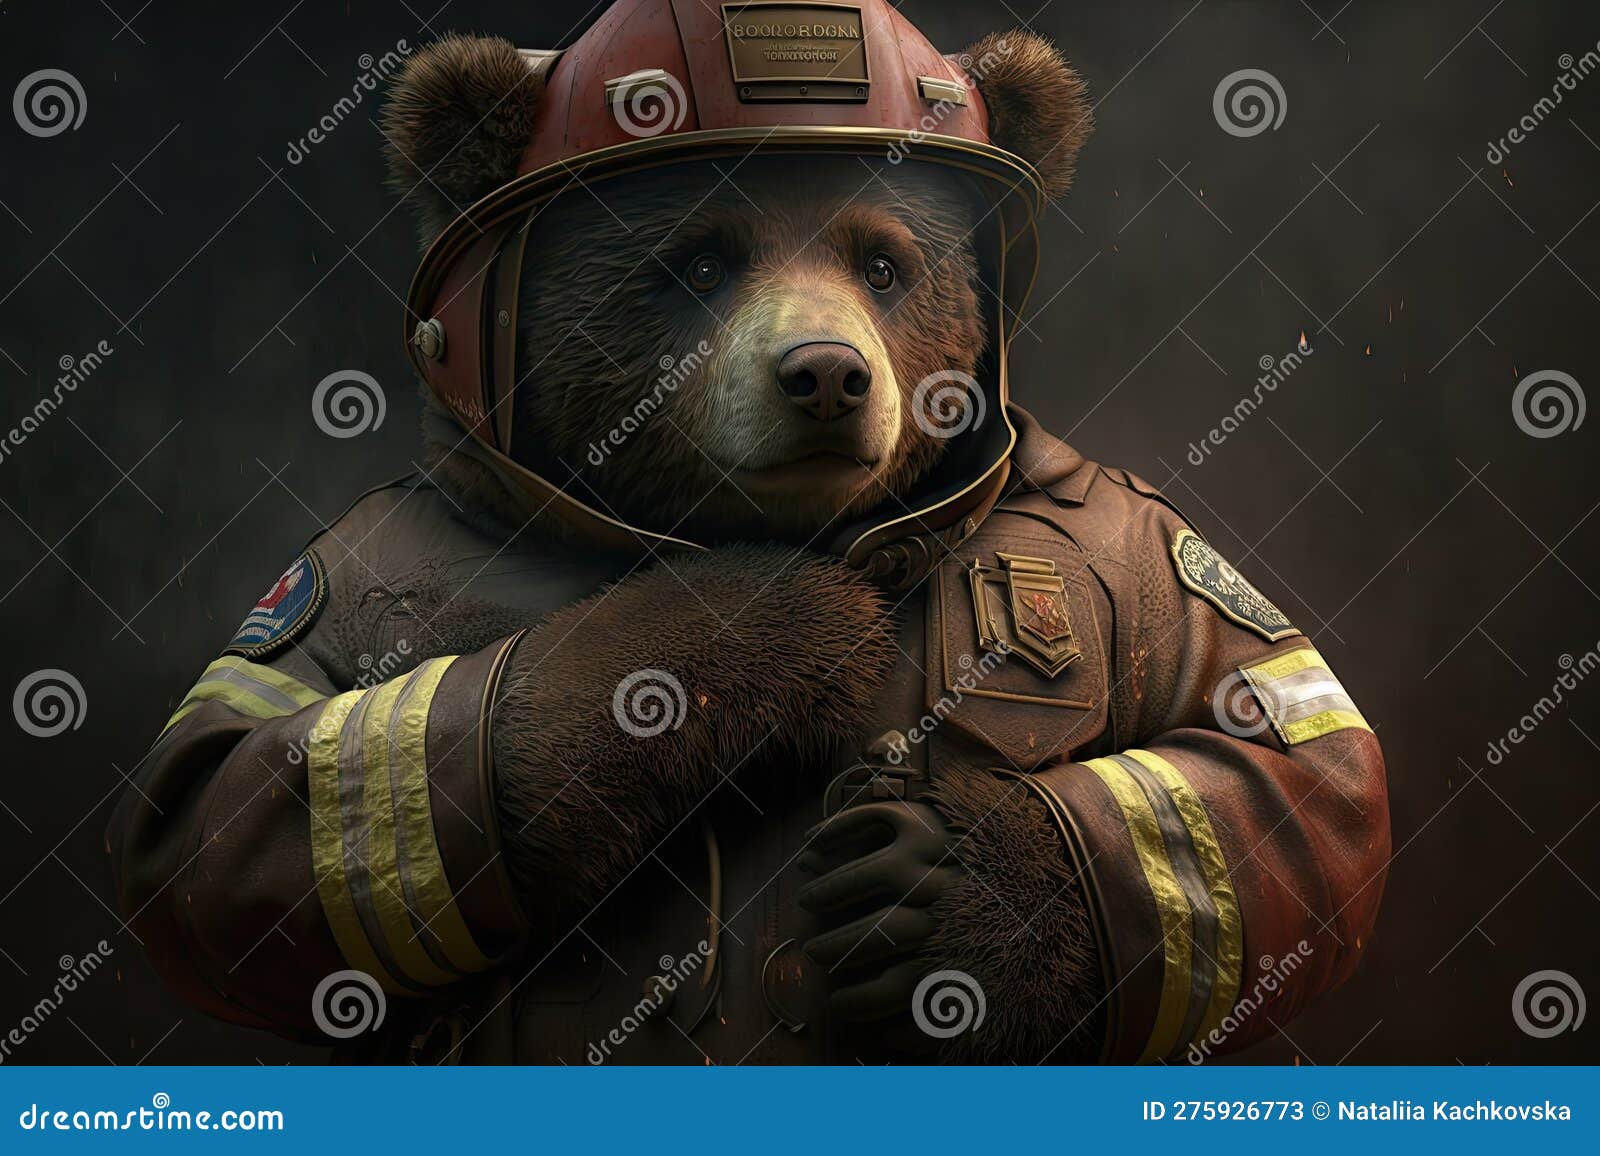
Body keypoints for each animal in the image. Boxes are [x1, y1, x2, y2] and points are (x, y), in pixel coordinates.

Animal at [109, 4, 1388, 1066]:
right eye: (698, 259)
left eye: (885, 261)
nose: (824, 375)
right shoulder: (369, 555)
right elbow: (235, 799)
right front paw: (765, 628)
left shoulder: (1133, 539)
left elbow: (1281, 766)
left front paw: (946, 889)